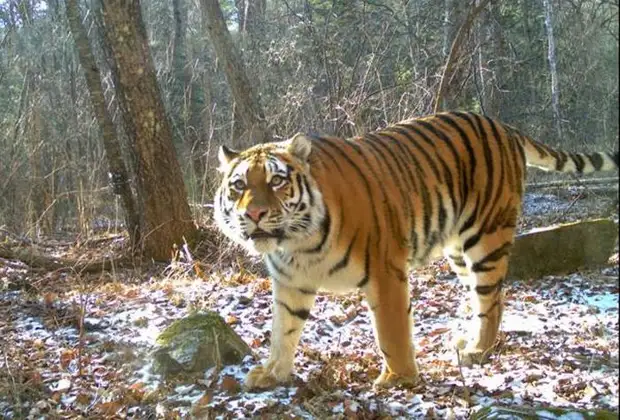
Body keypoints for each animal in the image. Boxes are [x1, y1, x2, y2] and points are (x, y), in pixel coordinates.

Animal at [212, 110, 616, 388]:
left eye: (277, 182)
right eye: (238, 186)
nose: (254, 213)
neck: (297, 244)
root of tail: (504, 126)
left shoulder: (384, 270)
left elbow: (391, 331)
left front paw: (398, 378)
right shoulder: (290, 283)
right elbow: (282, 330)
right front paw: (272, 373)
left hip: (486, 236)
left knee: (492, 298)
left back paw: (477, 350)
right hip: (458, 248)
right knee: (483, 295)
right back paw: (468, 339)